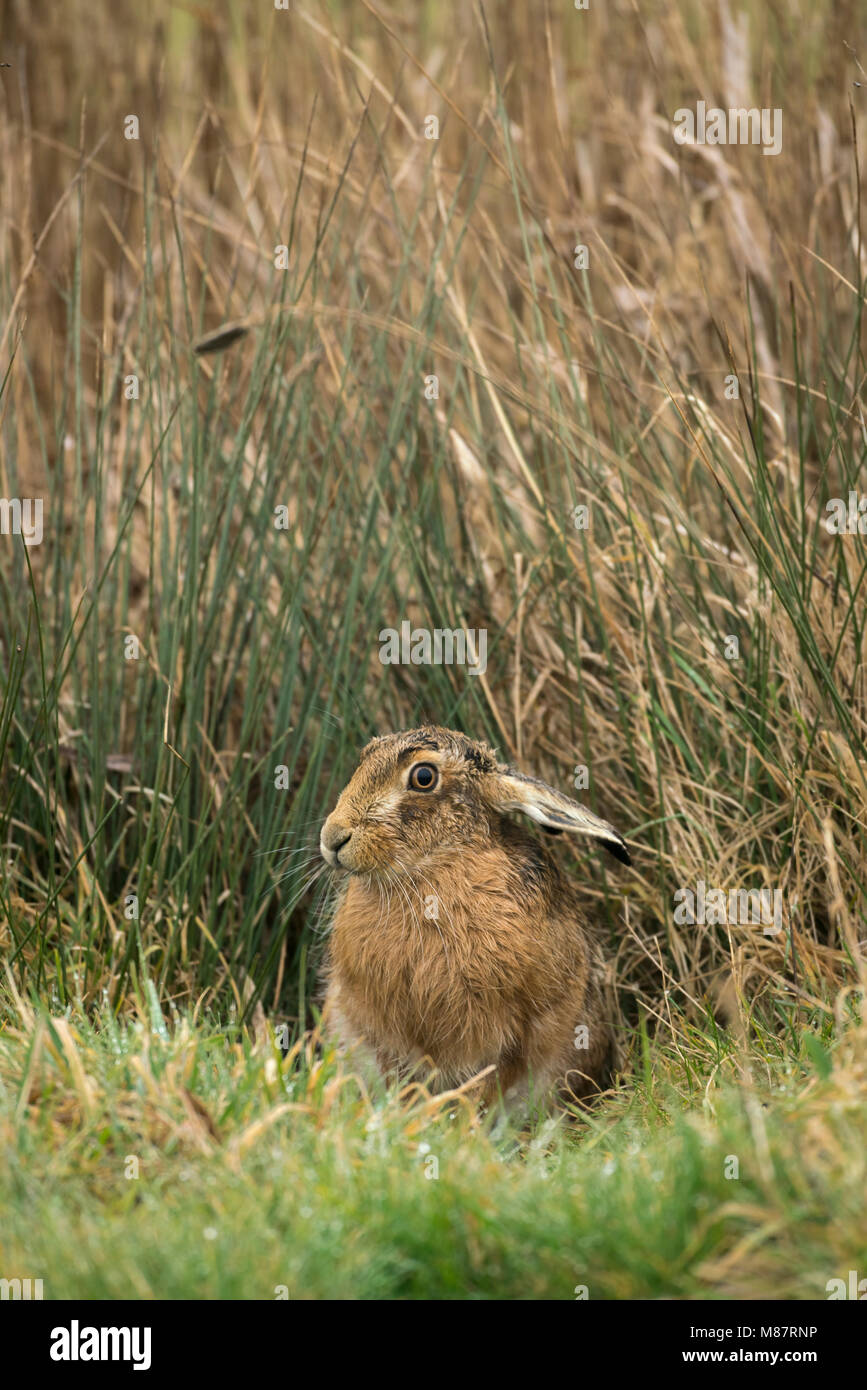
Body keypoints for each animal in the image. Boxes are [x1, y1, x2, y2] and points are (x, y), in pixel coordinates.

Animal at [319, 725, 630, 1113]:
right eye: (365, 758)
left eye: (423, 777)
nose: (333, 838)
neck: (434, 867)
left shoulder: (516, 1032)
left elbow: (490, 1082)